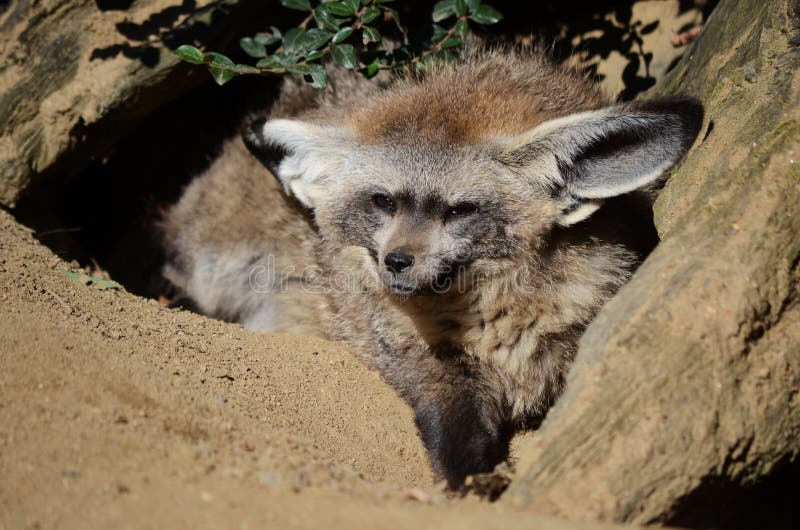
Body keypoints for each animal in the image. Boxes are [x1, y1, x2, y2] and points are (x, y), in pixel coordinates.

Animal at [161, 49, 703, 488]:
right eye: (383, 202)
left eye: (460, 211)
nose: (396, 262)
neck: (498, 322)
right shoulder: (424, 365)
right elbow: (456, 435)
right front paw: (474, 485)